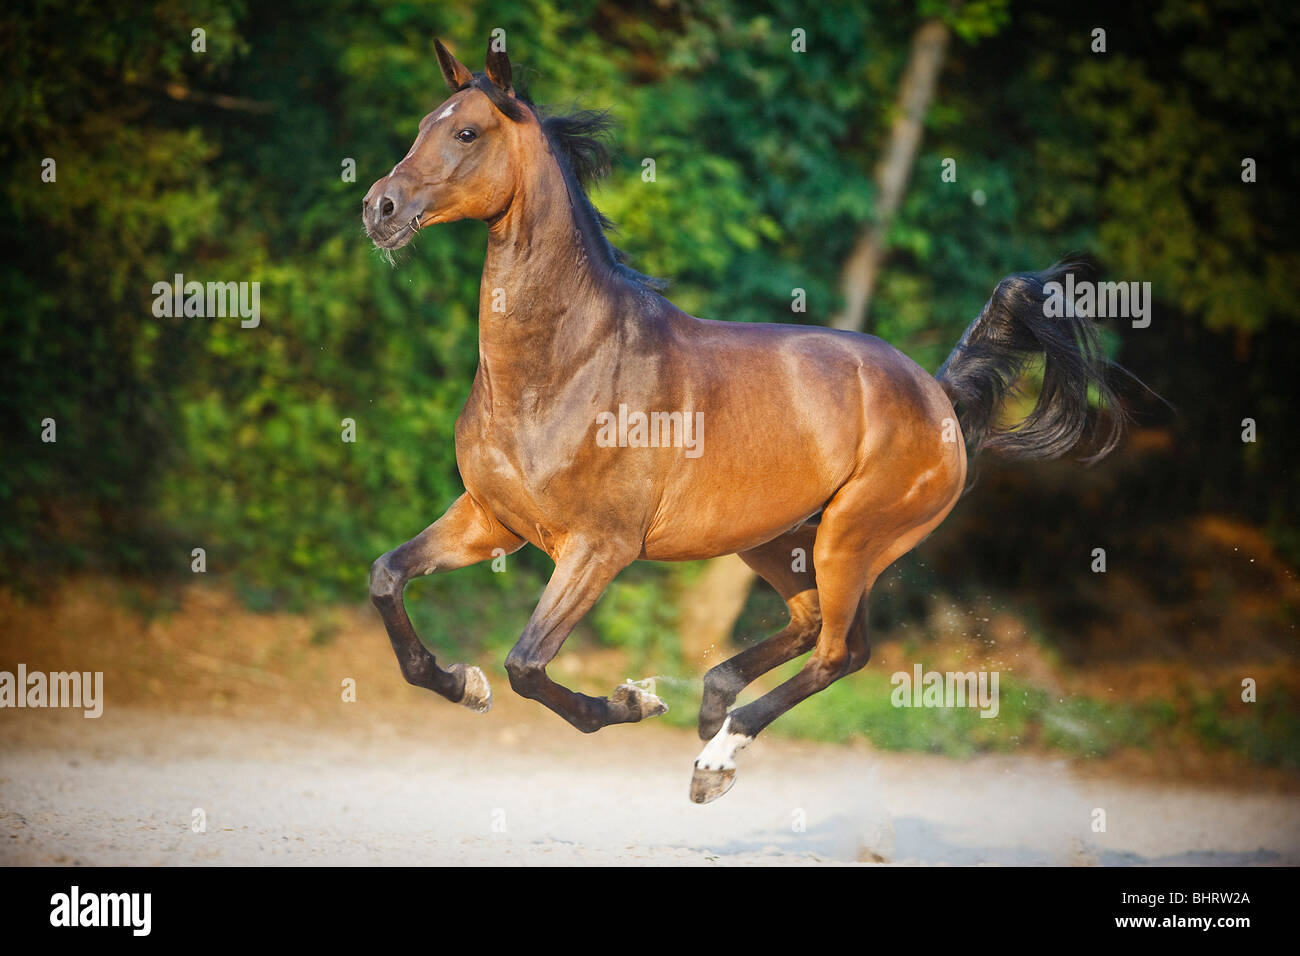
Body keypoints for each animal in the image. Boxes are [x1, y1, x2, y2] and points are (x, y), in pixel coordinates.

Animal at [361, 38, 1127, 803]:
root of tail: (936, 395)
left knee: (839, 652)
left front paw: (631, 702)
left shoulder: (599, 547)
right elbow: (387, 578)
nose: (379, 207)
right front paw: (464, 684)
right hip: (778, 539)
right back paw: (713, 700)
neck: (560, 365)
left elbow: (527, 663)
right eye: (424, 124)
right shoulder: (493, 520)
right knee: (814, 626)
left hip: (853, 537)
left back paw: (716, 757)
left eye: (467, 133)